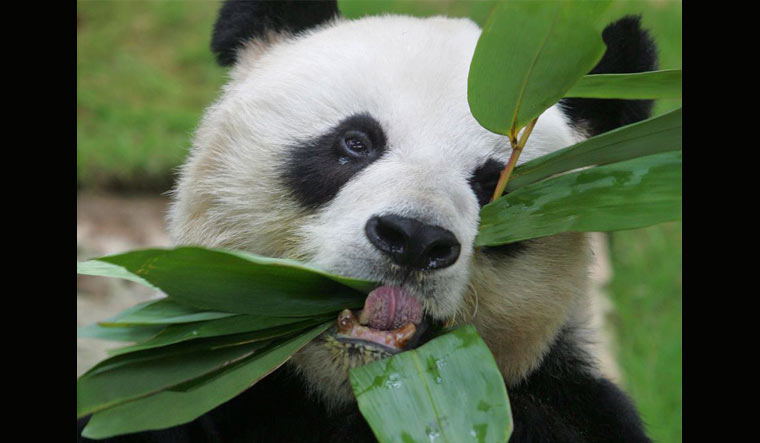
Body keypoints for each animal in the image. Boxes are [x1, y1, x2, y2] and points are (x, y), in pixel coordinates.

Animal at [78, 1, 659, 442]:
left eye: (493, 182)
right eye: (356, 143)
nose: (414, 239)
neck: (377, 395)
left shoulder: (560, 406)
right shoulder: (174, 391)